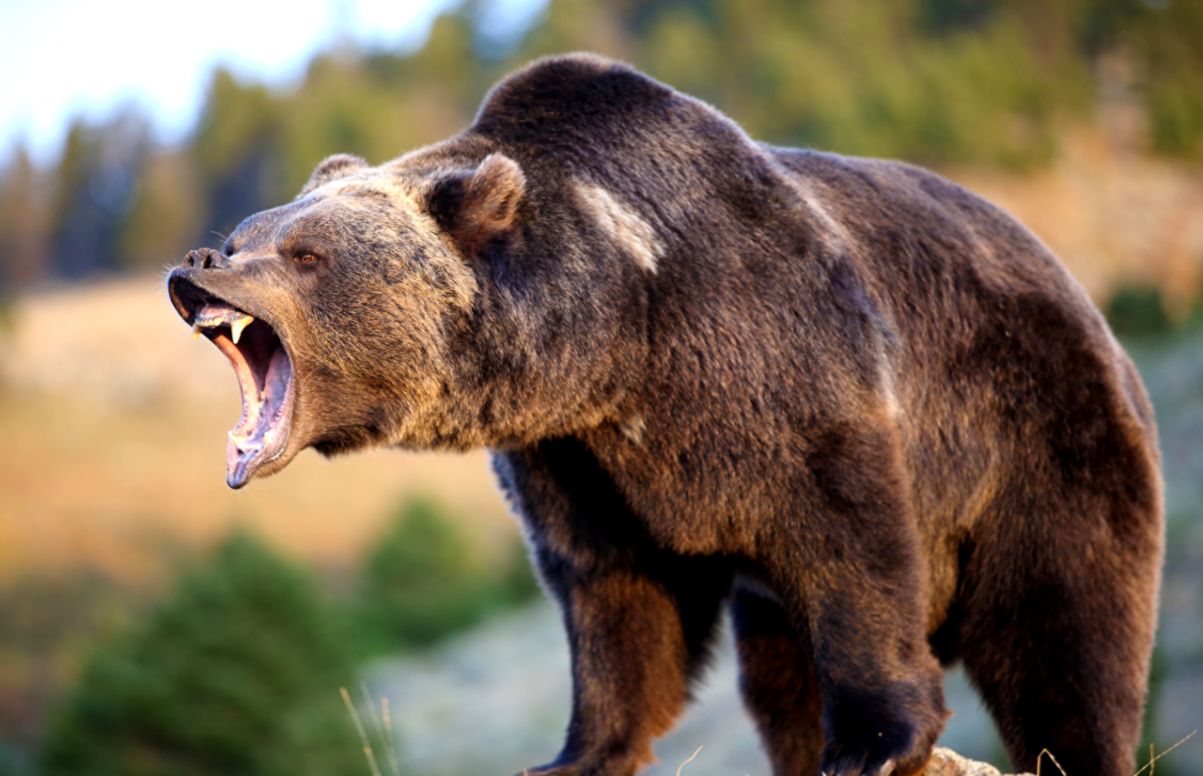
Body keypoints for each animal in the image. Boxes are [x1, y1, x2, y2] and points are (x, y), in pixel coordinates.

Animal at [167, 54, 1164, 776]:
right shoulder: (577, 459)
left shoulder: (781, 364)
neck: (618, 337)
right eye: (242, 235)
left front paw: (874, 744)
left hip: (1041, 437)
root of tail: (1087, 304)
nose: (197, 265)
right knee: (779, 674)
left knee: (1064, 634)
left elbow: (852, 545)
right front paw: (572, 755)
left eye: (304, 253)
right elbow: (613, 596)